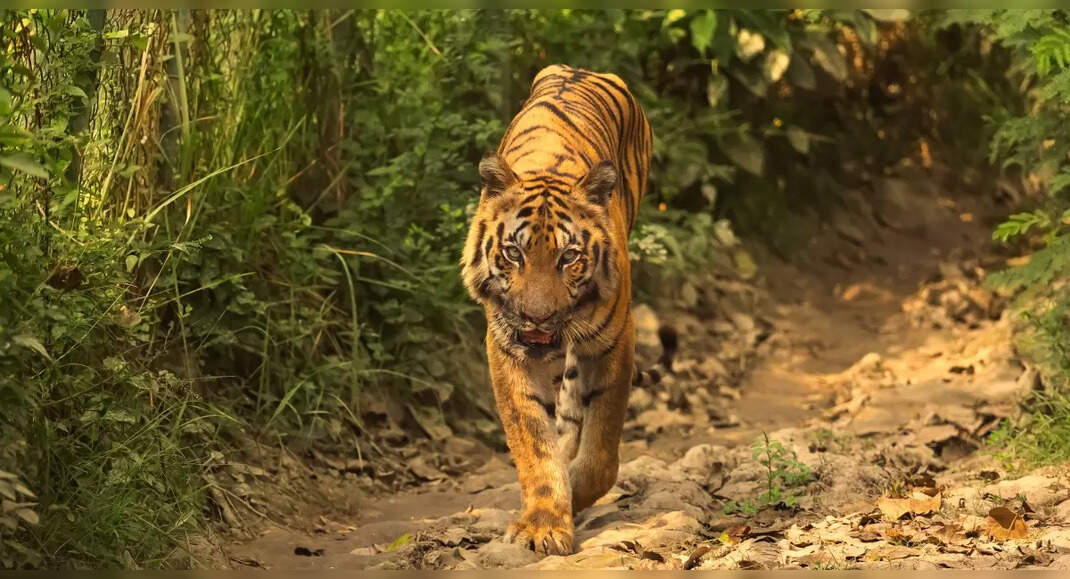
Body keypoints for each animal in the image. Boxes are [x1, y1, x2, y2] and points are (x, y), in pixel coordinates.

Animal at [461, 64, 658, 556]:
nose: (536, 317)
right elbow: (533, 443)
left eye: (569, 258)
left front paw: (573, 495)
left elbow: (602, 452)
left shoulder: (615, 341)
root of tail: (581, 69)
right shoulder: (506, 349)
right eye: (513, 253)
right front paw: (544, 524)